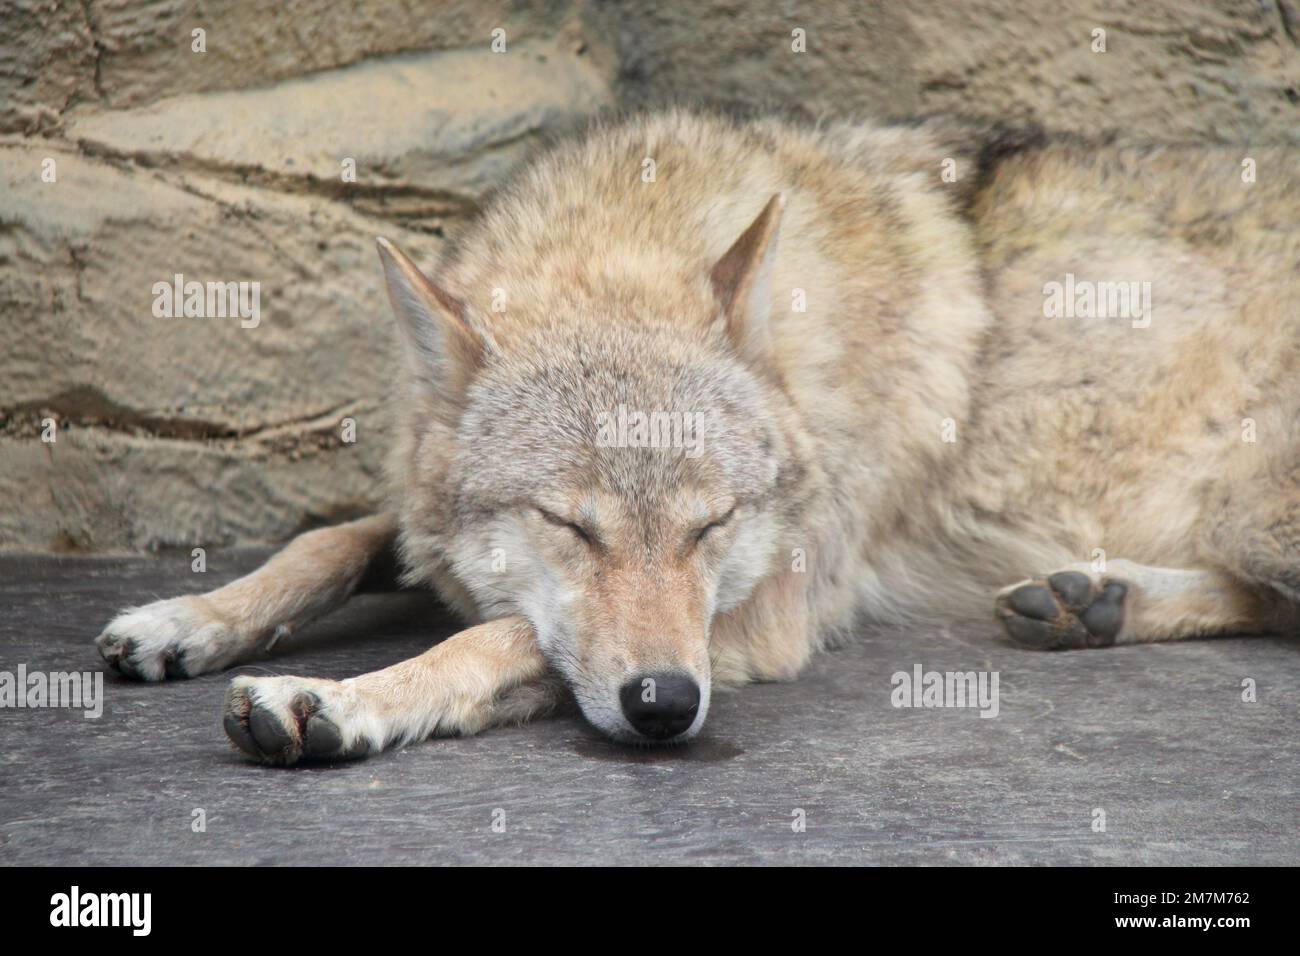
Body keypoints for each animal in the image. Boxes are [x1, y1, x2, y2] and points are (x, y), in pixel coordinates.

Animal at [94, 111, 1299, 764]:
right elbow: (332, 540)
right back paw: (1092, 601)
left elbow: (495, 640)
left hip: (1247, 514)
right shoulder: (421, 515)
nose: (667, 707)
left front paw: (339, 702)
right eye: (571, 526)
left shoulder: (761, 620)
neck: (622, 240)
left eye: (710, 526)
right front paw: (190, 617)